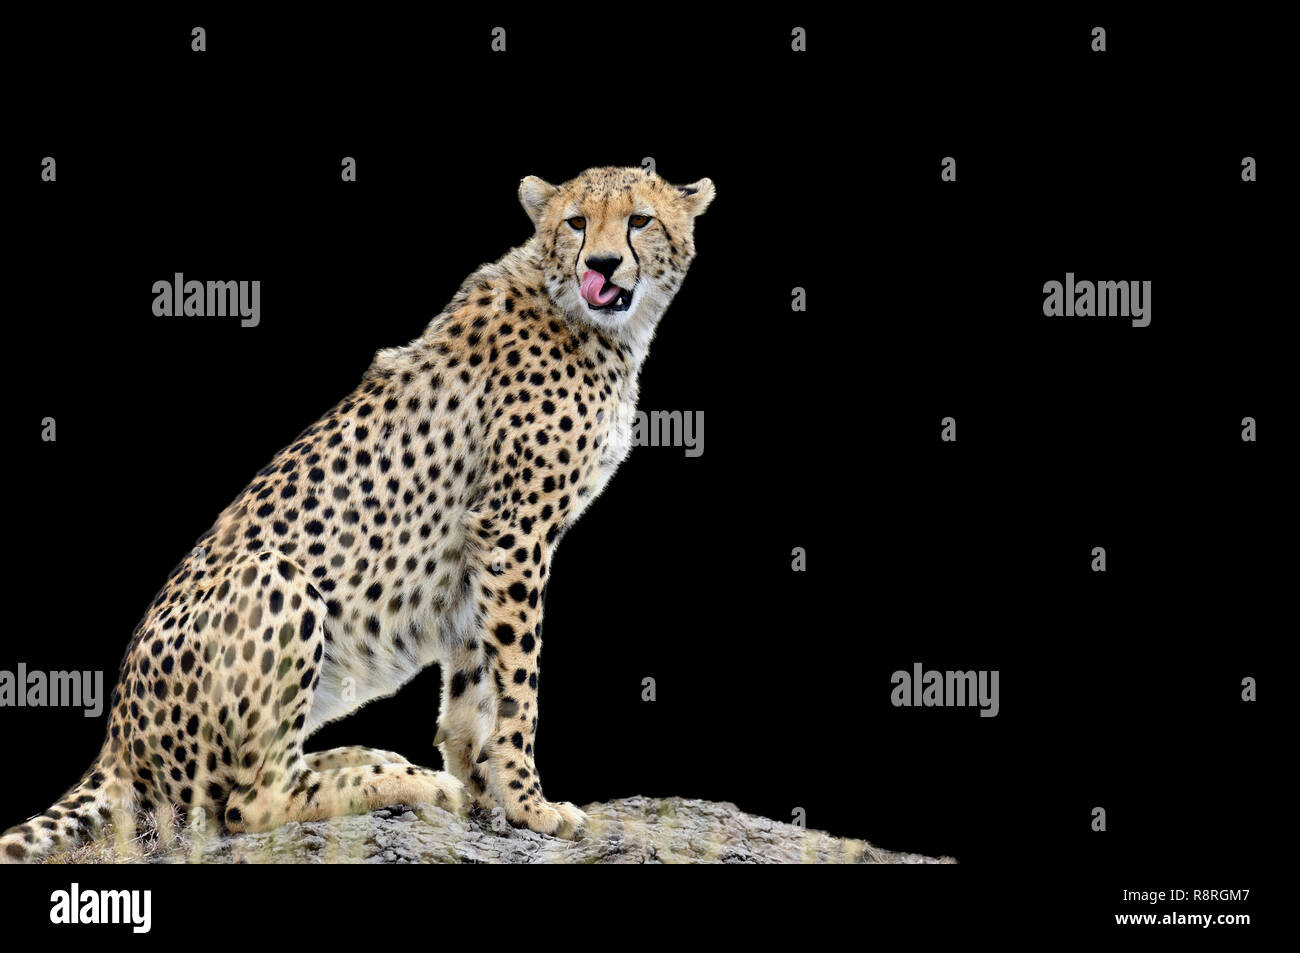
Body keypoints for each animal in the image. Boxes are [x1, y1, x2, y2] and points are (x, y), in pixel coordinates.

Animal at [0, 165, 714, 862]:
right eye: (575, 223)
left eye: (639, 220)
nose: (602, 264)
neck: (592, 321)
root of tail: (115, 738)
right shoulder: (514, 532)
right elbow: (518, 684)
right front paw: (529, 804)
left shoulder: (482, 551)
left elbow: (472, 686)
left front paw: (484, 794)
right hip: (279, 578)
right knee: (246, 804)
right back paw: (398, 782)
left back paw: (375, 761)